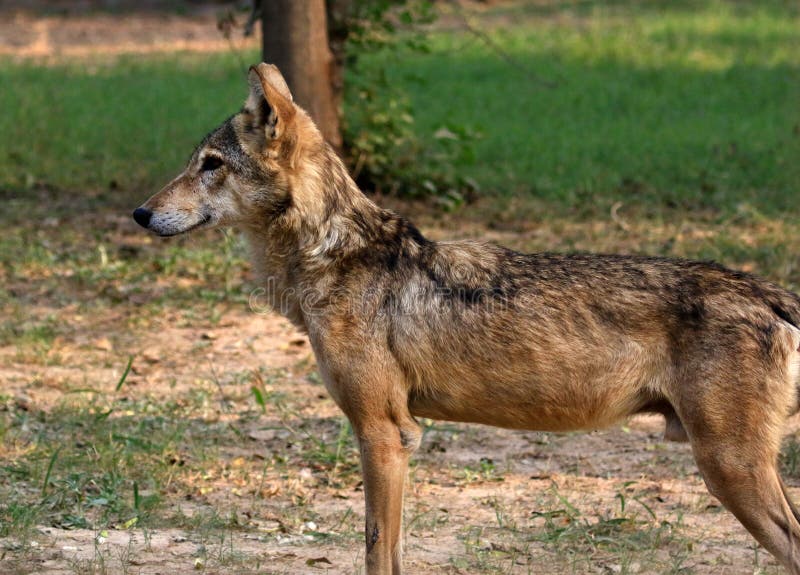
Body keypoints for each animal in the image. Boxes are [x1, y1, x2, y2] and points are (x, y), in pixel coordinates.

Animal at [133, 63, 800, 574]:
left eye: (211, 164)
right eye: (195, 162)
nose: (139, 213)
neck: (335, 254)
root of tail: (770, 292)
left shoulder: (385, 433)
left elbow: (376, 551)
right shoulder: (395, 436)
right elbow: (391, 551)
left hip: (729, 468)